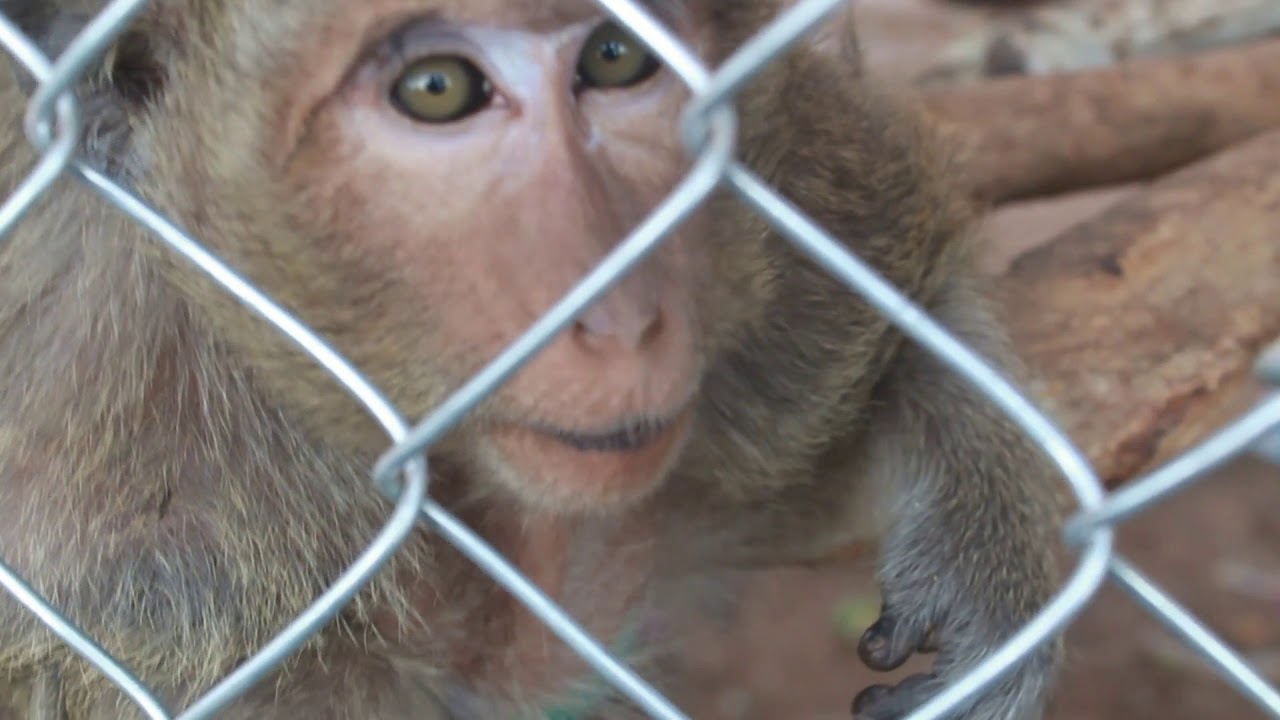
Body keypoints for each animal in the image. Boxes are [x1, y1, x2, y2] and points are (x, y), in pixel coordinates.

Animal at [0, 1, 1063, 718]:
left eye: (615, 54)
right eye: (436, 88)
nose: (620, 317)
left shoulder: (779, 212)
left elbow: (910, 298)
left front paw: (992, 557)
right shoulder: (148, 535)